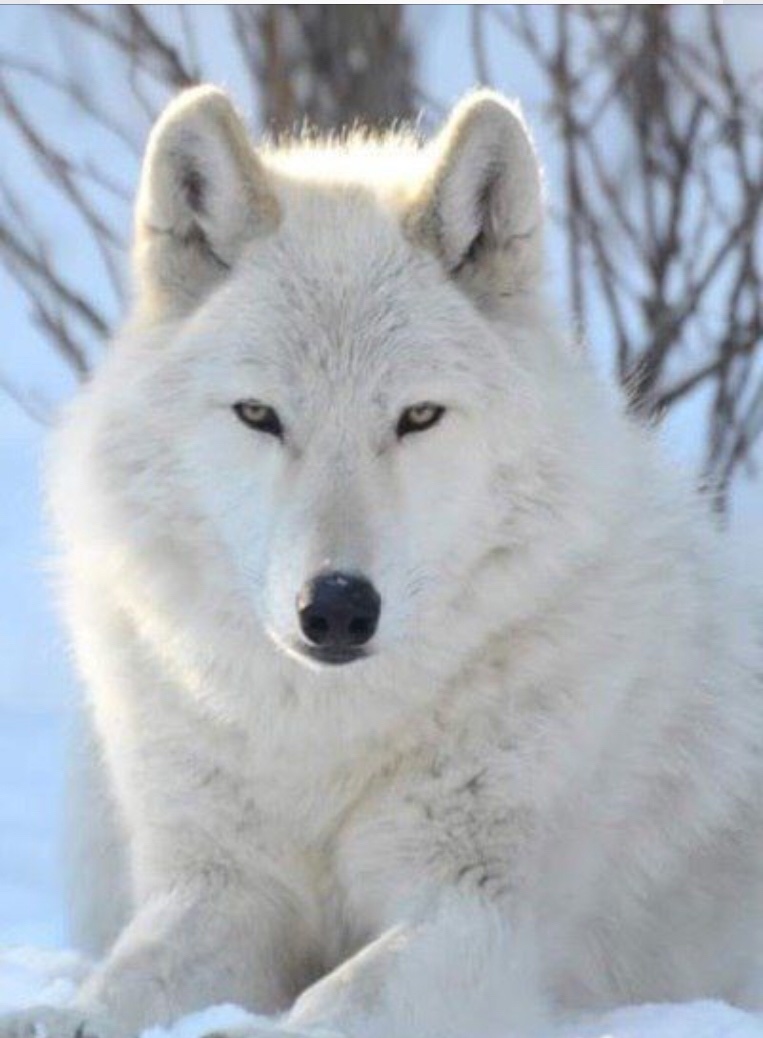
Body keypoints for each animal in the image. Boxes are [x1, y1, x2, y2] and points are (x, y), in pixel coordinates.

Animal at [2, 85, 762, 1038]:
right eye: (258, 415)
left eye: (417, 418)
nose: (335, 608)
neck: (325, 735)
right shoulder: (222, 889)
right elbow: (117, 986)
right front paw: (58, 1014)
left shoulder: (482, 916)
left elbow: (333, 1003)